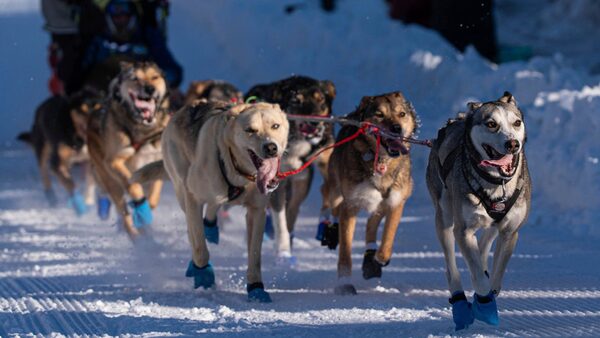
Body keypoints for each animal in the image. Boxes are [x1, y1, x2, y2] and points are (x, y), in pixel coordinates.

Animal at [84, 62, 170, 239]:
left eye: (154, 77)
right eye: (134, 78)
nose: (150, 89)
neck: (143, 129)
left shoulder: (158, 161)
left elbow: (154, 195)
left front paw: (148, 206)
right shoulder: (114, 162)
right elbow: (132, 185)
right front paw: (141, 206)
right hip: (110, 181)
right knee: (124, 213)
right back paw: (138, 237)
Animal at [135, 99, 290, 302]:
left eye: (275, 126)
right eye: (250, 130)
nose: (271, 147)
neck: (238, 171)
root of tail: (186, 108)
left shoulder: (257, 211)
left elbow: (255, 255)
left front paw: (256, 288)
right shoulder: (193, 198)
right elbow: (199, 247)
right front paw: (204, 275)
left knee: (214, 206)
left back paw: (210, 226)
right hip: (182, 191)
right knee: (193, 229)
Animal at [245, 76, 338, 264]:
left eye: (321, 99)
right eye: (296, 100)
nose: (315, 122)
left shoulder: (322, 161)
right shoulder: (276, 181)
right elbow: (280, 219)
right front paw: (283, 250)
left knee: (294, 207)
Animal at [326, 91, 414, 294]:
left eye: (402, 114)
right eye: (379, 115)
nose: (397, 128)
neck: (380, 160)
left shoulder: (396, 201)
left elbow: (389, 233)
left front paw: (380, 257)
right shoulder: (350, 205)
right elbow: (345, 250)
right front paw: (344, 283)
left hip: (379, 203)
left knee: (371, 225)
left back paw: (370, 258)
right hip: (335, 190)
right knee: (331, 203)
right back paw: (331, 231)